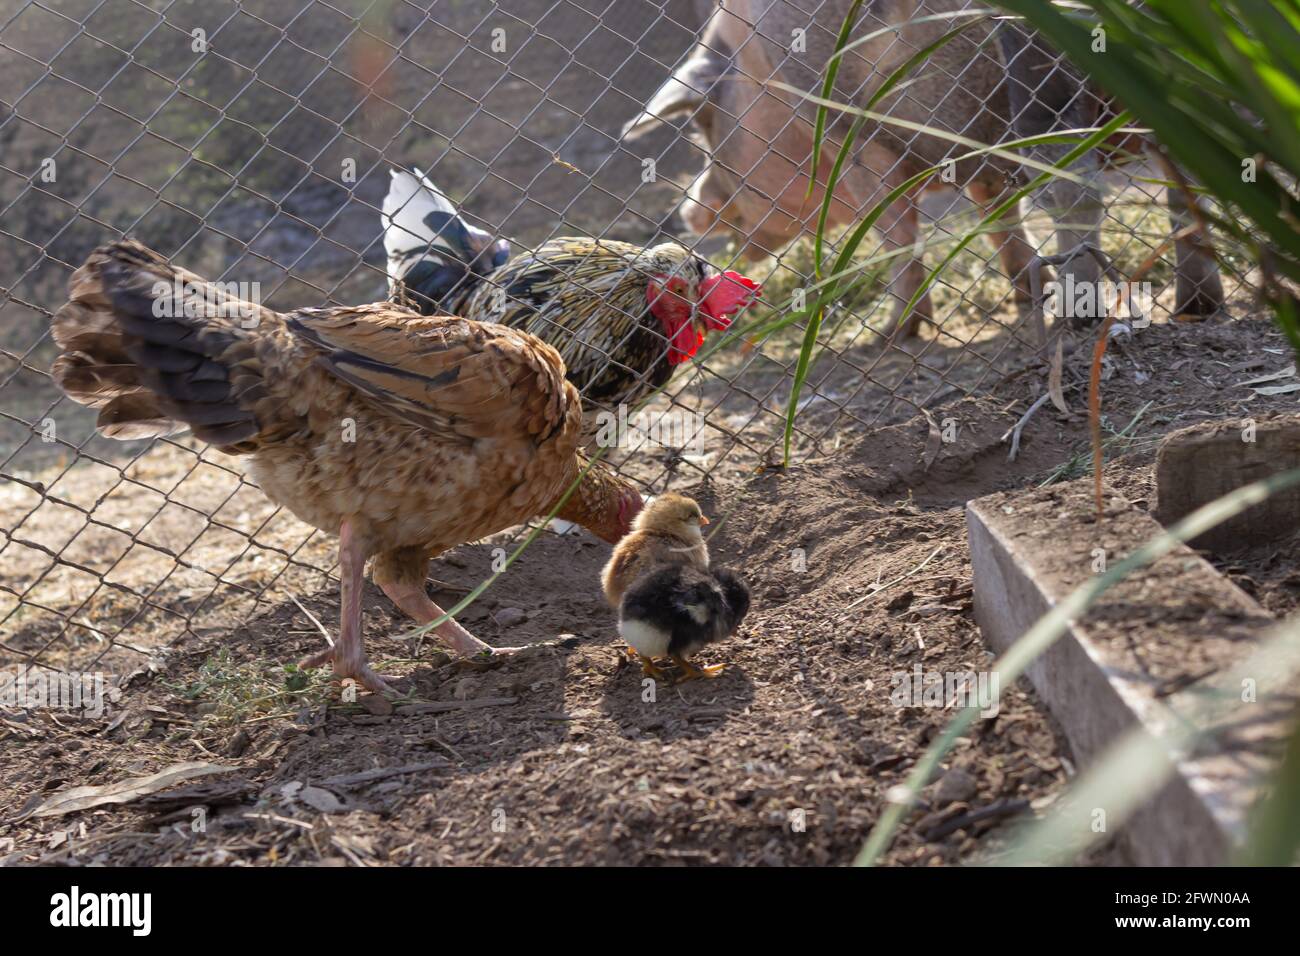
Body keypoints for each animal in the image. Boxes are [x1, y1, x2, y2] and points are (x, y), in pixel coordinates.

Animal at [623, 0, 1222, 342]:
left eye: (702, 128)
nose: (688, 214)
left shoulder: (856, 137)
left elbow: (895, 236)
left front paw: (893, 337)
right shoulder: (975, 146)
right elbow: (997, 211)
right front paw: (1028, 293)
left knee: (1078, 191)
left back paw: (1078, 320)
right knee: (1192, 173)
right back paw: (1198, 308)